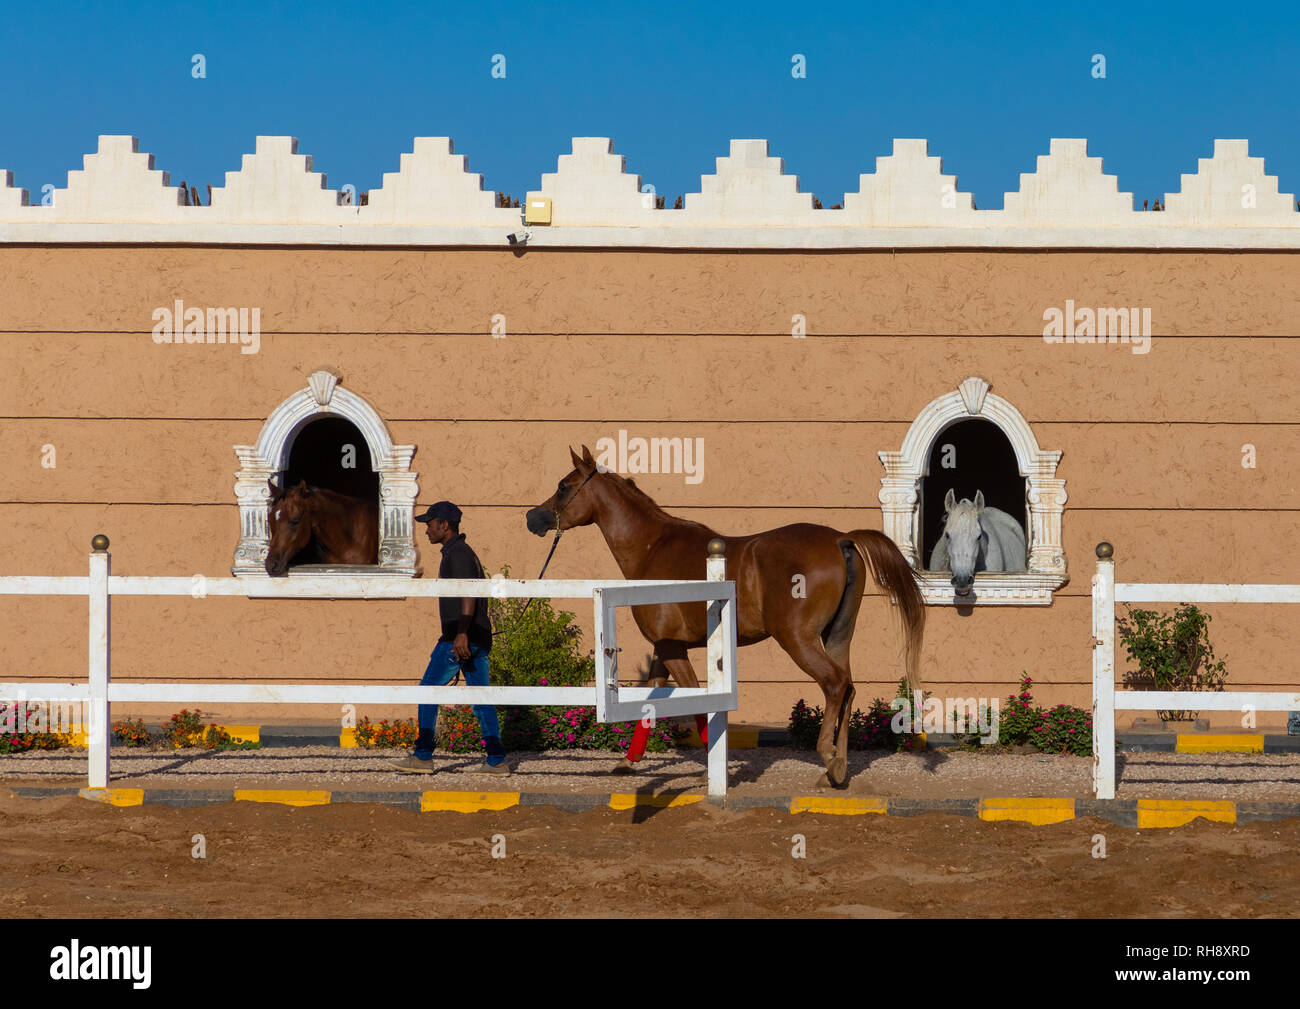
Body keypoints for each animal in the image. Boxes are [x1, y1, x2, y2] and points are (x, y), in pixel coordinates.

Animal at [525, 446, 925, 788]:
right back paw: (837, 768)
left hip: (799, 639)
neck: (653, 547)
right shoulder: (666, 647)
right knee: (849, 687)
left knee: (835, 684)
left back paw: (828, 756)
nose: (533, 517)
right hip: (838, 635)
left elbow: (699, 705)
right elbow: (650, 701)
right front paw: (628, 761)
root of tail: (840, 539)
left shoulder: (673, 649)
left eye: (564, 486)